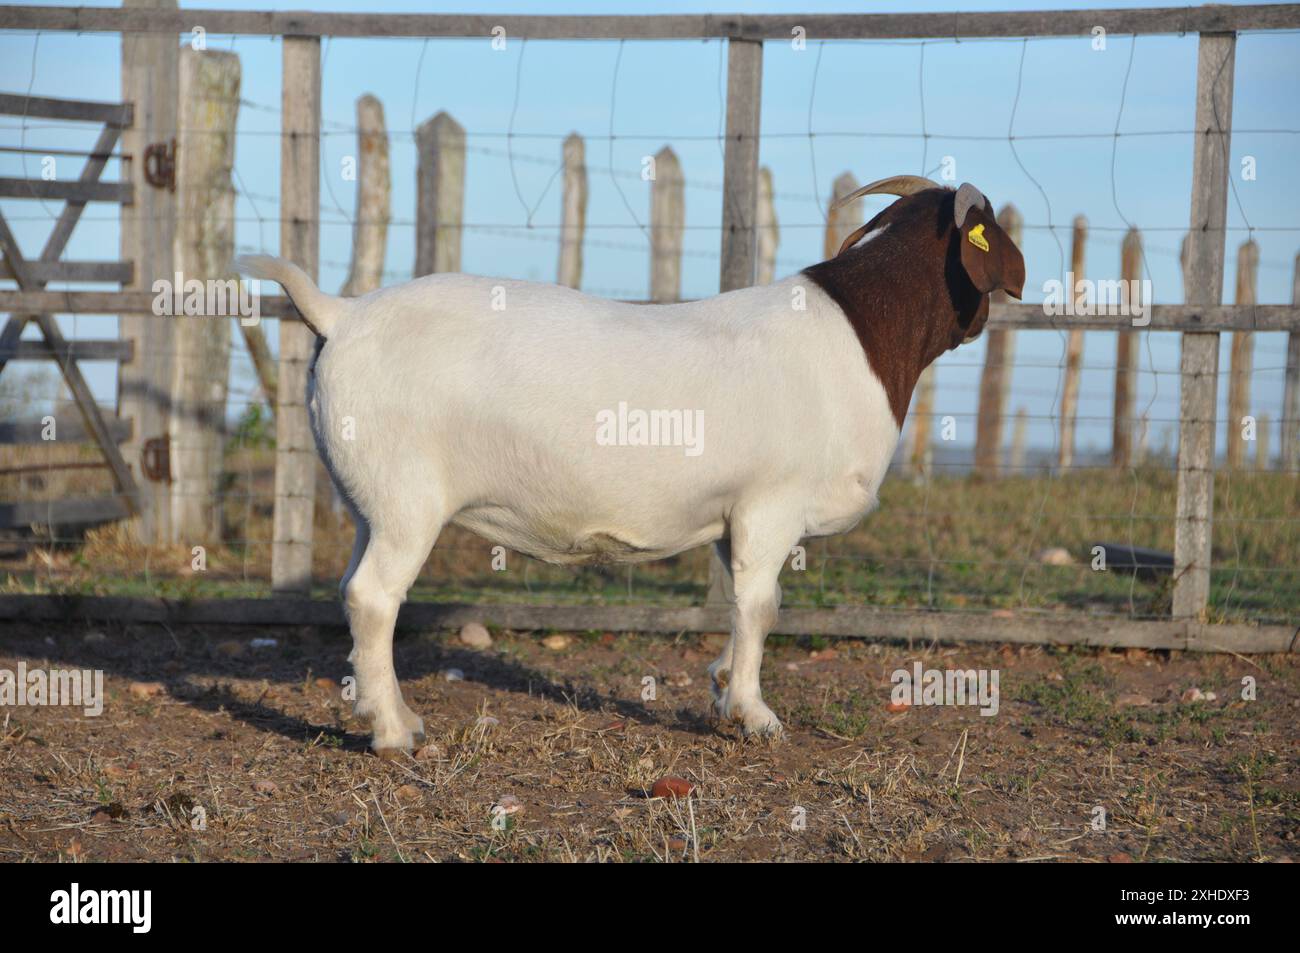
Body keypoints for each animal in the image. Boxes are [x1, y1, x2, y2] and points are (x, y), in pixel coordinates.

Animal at [236, 176, 1025, 754]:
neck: (863, 337)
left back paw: (372, 710)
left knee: (350, 588)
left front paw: (721, 685)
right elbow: (761, 605)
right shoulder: (770, 505)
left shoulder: (734, 517)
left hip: (369, 500)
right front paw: (755, 715)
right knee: (375, 597)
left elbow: (744, 604)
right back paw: (397, 733)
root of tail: (339, 314)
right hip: (407, 500)